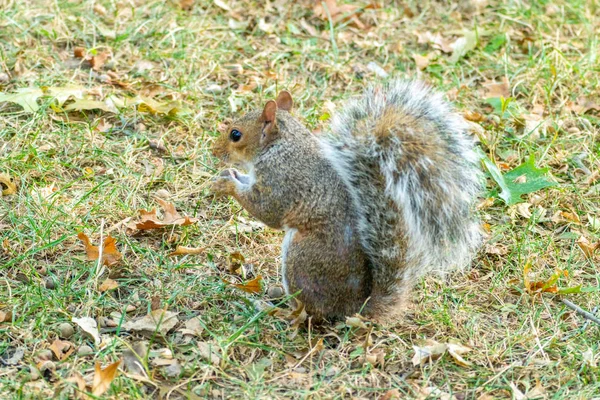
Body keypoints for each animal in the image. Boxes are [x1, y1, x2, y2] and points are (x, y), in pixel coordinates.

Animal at [211, 79, 482, 324]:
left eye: (235, 134)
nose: (214, 151)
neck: (280, 145)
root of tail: (353, 308)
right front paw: (228, 175)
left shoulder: (282, 181)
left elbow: (268, 211)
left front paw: (226, 185)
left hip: (301, 257)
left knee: (308, 314)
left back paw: (277, 312)